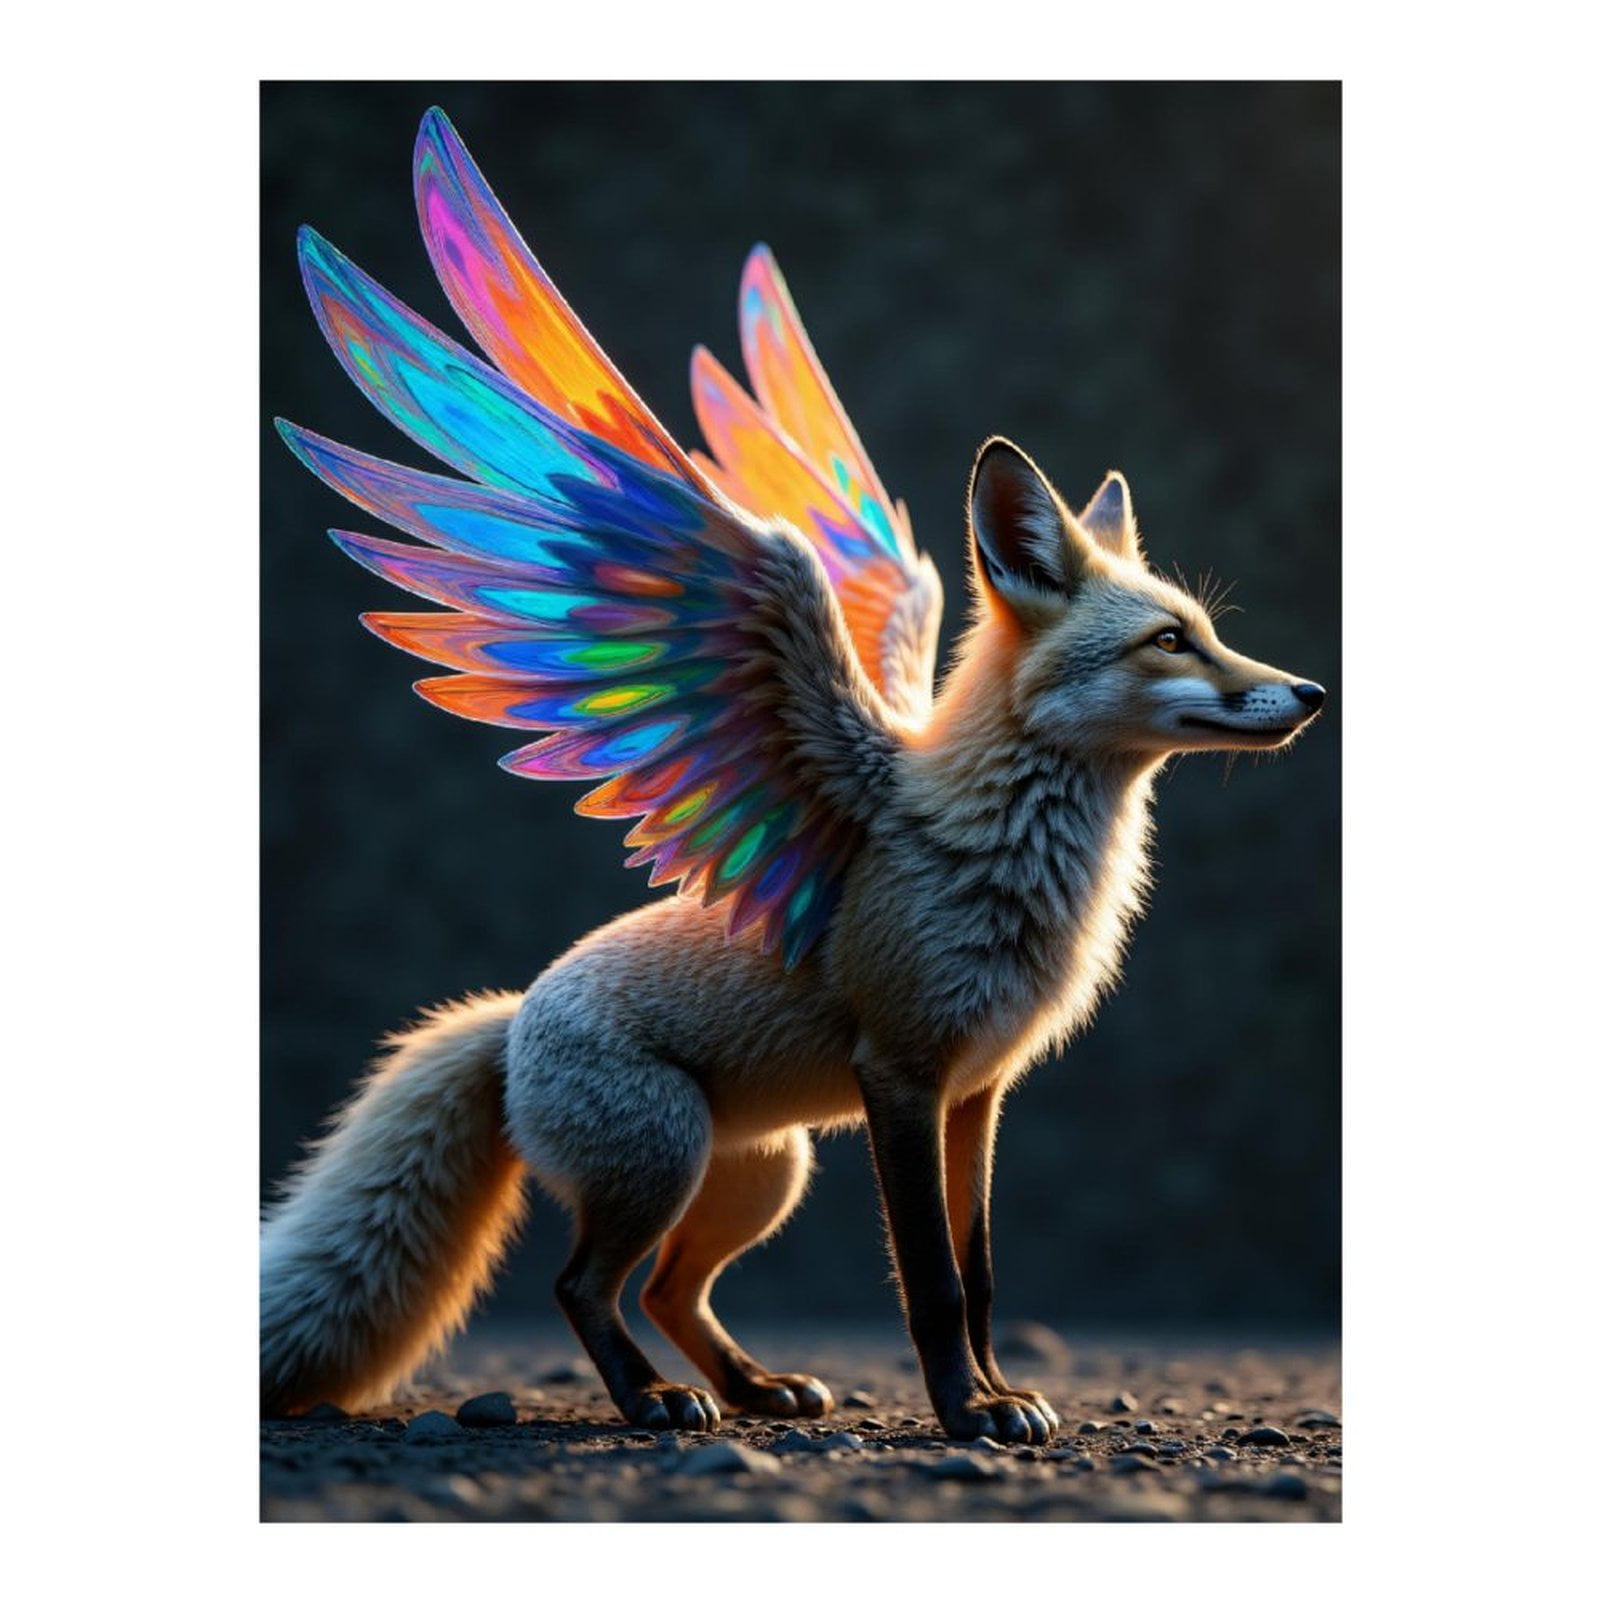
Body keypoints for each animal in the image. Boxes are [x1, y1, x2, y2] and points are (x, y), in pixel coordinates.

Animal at [262, 109, 1326, 1444]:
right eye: (1170, 639)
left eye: (1206, 630)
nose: (1310, 693)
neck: (1010, 860)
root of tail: (507, 1024)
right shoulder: (902, 1077)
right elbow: (929, 1279)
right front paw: (964, 1414)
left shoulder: (979, 1093)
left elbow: (982, 1273)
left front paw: (998, 1396)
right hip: (669, 1157)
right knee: (581, 1282)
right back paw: (653, 1401)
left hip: (762, 1173)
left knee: (668, 1286)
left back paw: (753, 1388)